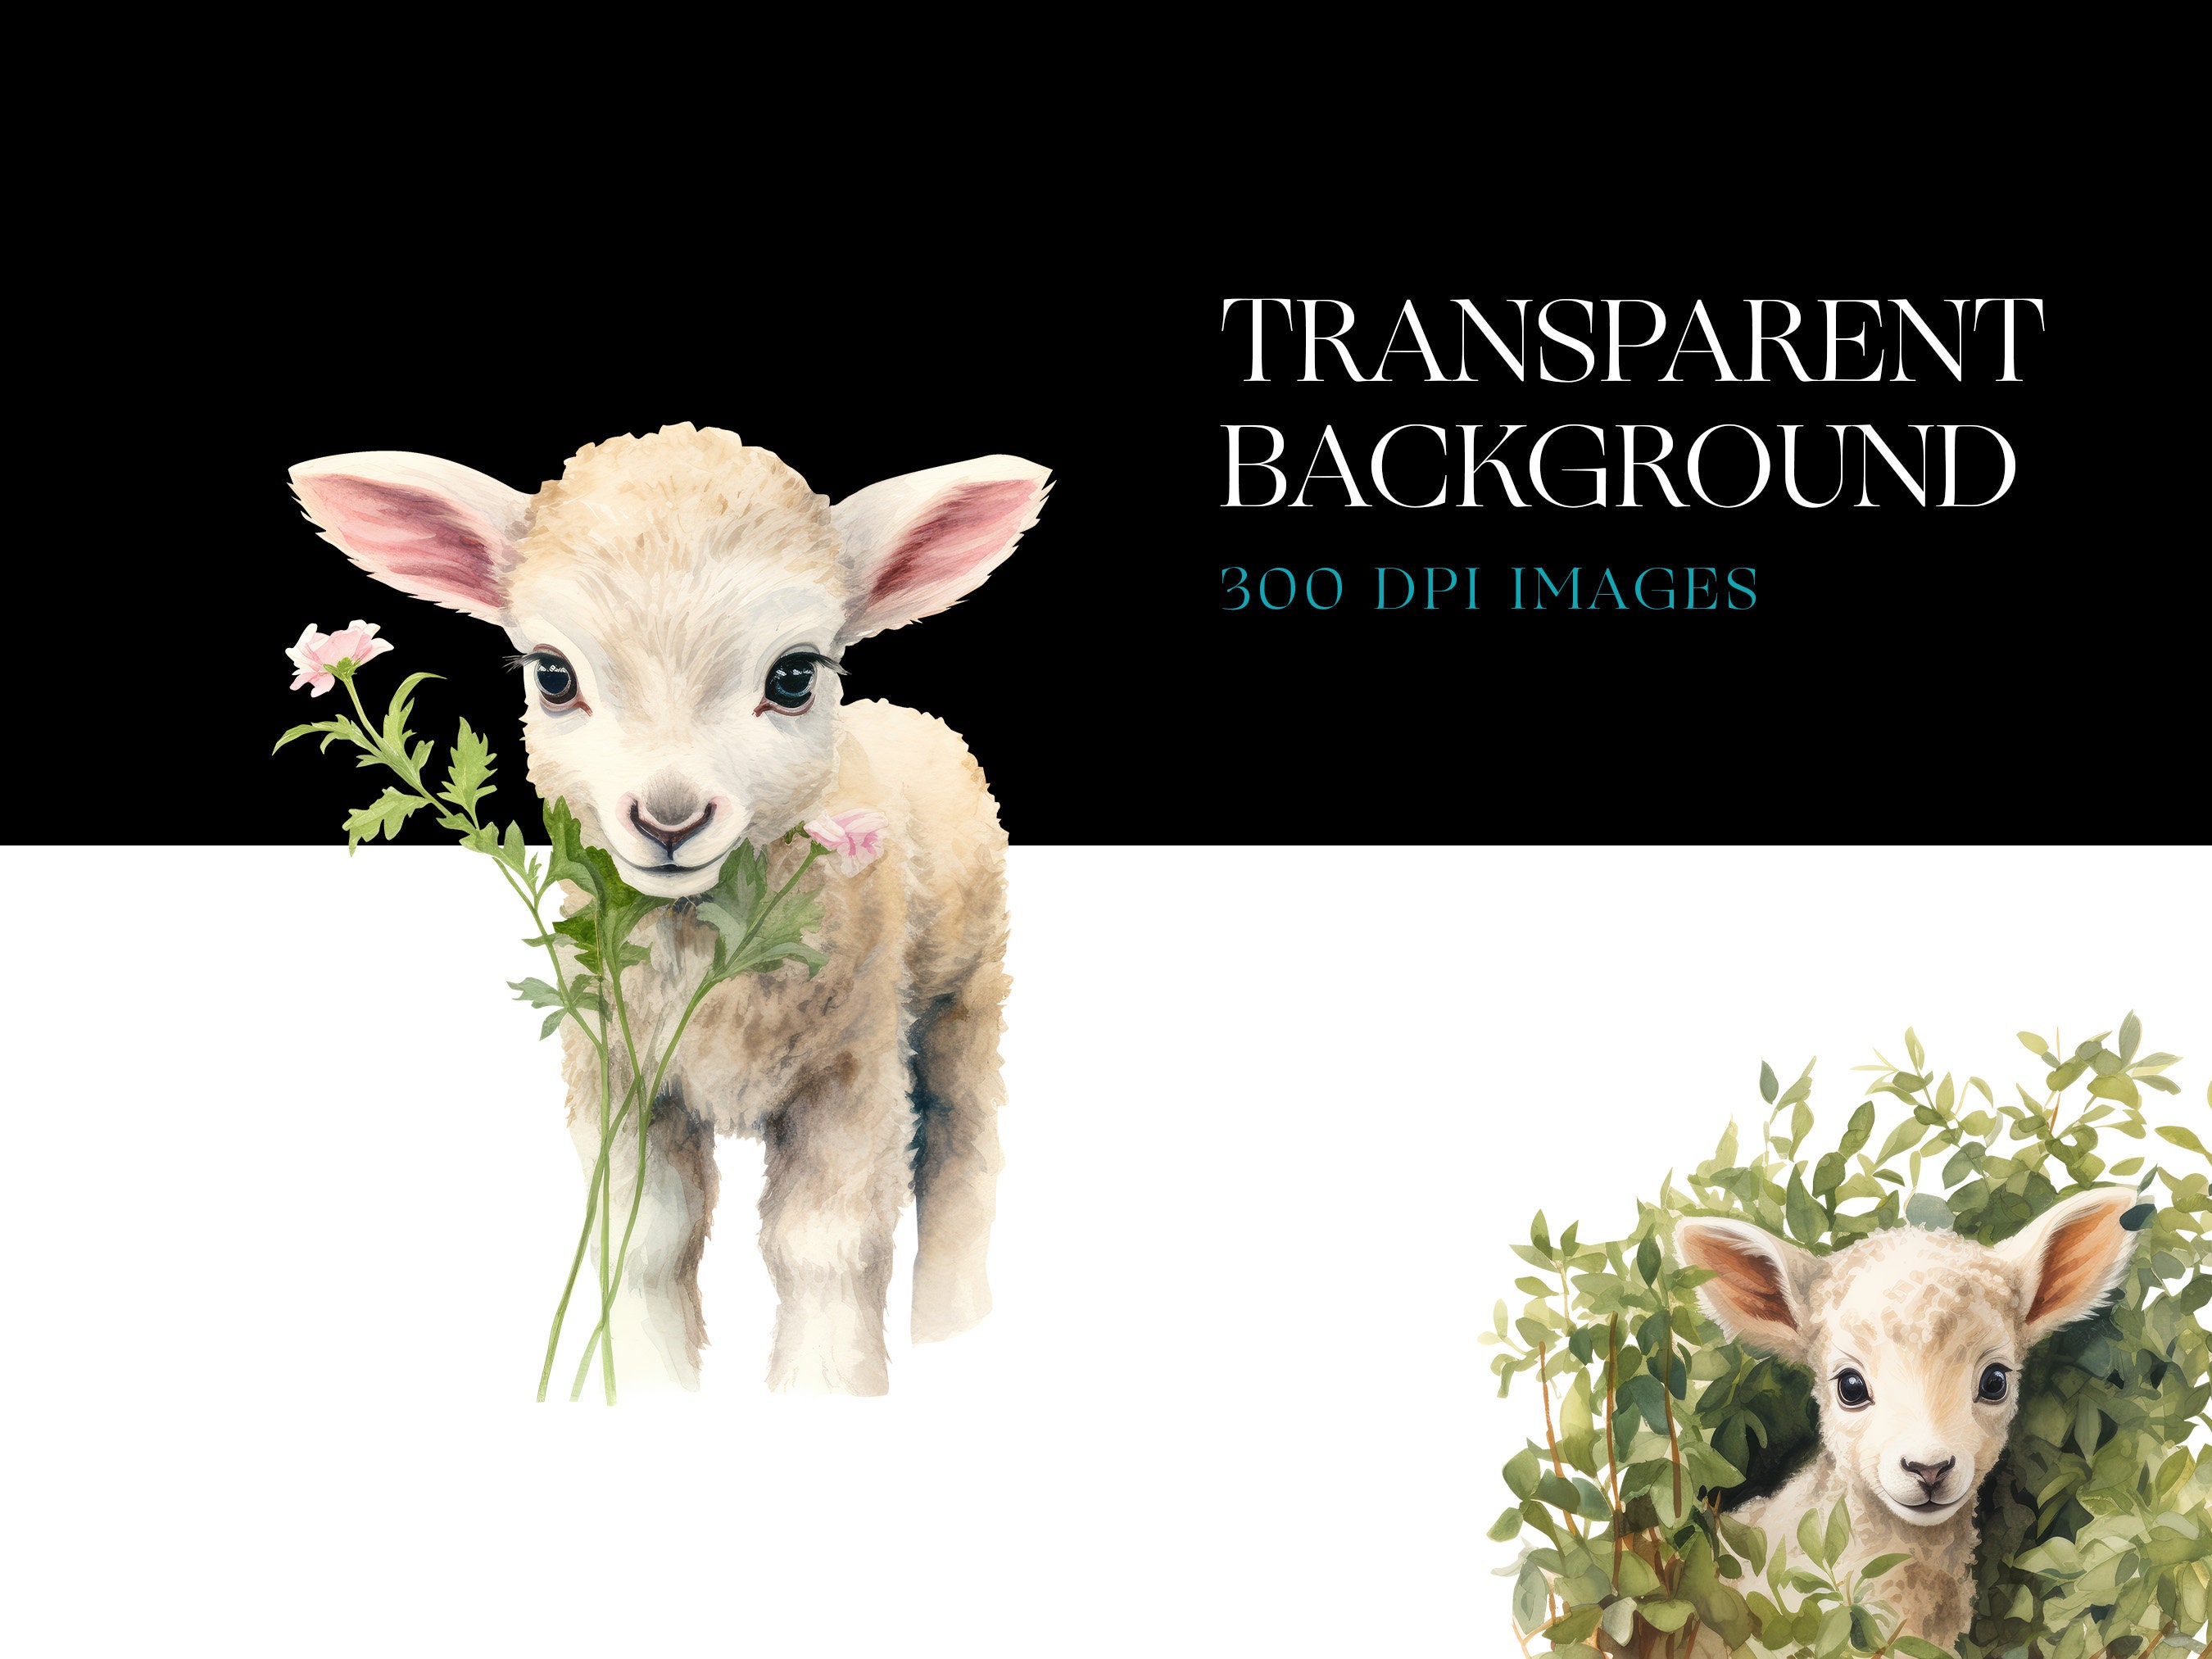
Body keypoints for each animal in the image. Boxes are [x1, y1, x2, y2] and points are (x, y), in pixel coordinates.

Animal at [288, 423, 1050, 1395]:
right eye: (553, 674)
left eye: (795, 676)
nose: (670, 818)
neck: (708, 951)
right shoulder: (618, 1069)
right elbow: (644, 1241)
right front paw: (649, 1383)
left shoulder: (850, 1065)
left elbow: (827, 1249)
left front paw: (828, 1386)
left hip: (965, 988)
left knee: (963, 1156)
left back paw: (955, 1323)